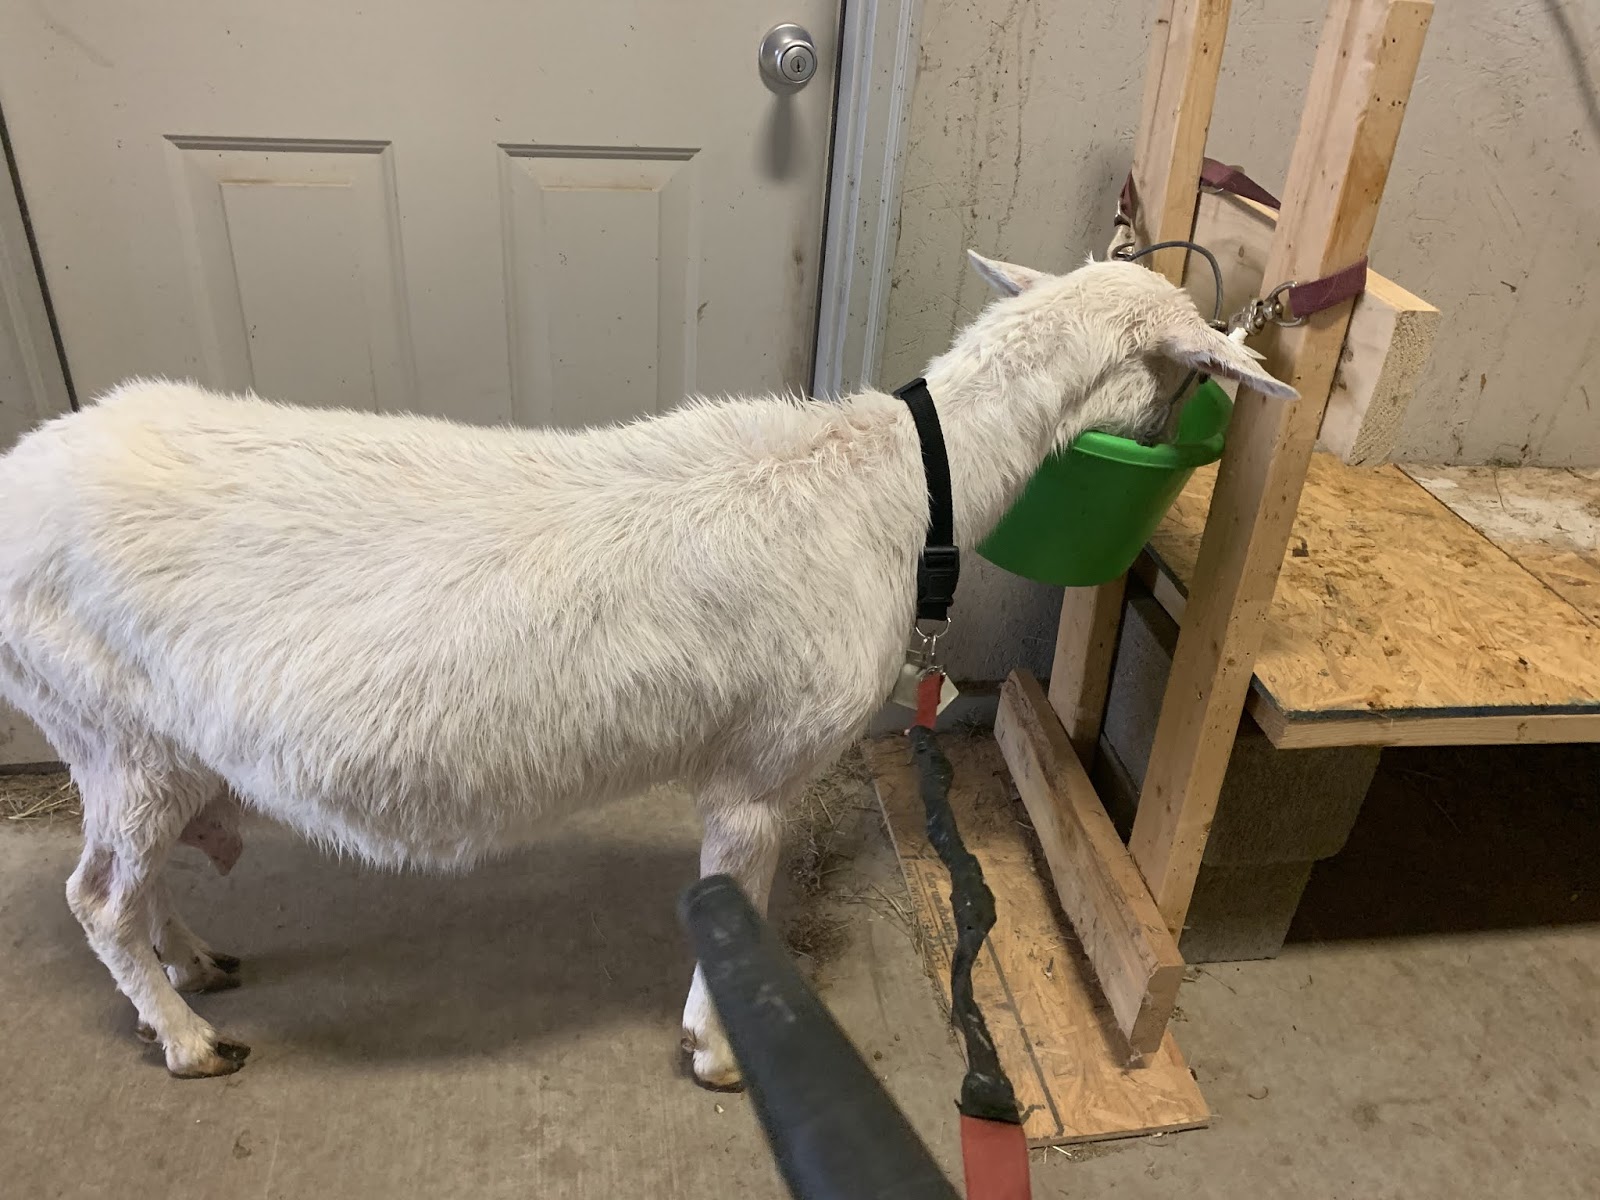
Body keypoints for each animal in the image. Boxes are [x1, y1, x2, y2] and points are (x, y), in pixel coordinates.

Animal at [0, 253, 1294, 1084]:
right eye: (1192, 372)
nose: (1184, 429)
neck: (895, 482)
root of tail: (21, 471)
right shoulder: (765, 767)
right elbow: (736, 896)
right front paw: (717, 1050)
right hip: (113, 723)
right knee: (95, 898)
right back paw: (185, 1039)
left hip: (129, 747)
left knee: (131, 882)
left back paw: (193, 963)